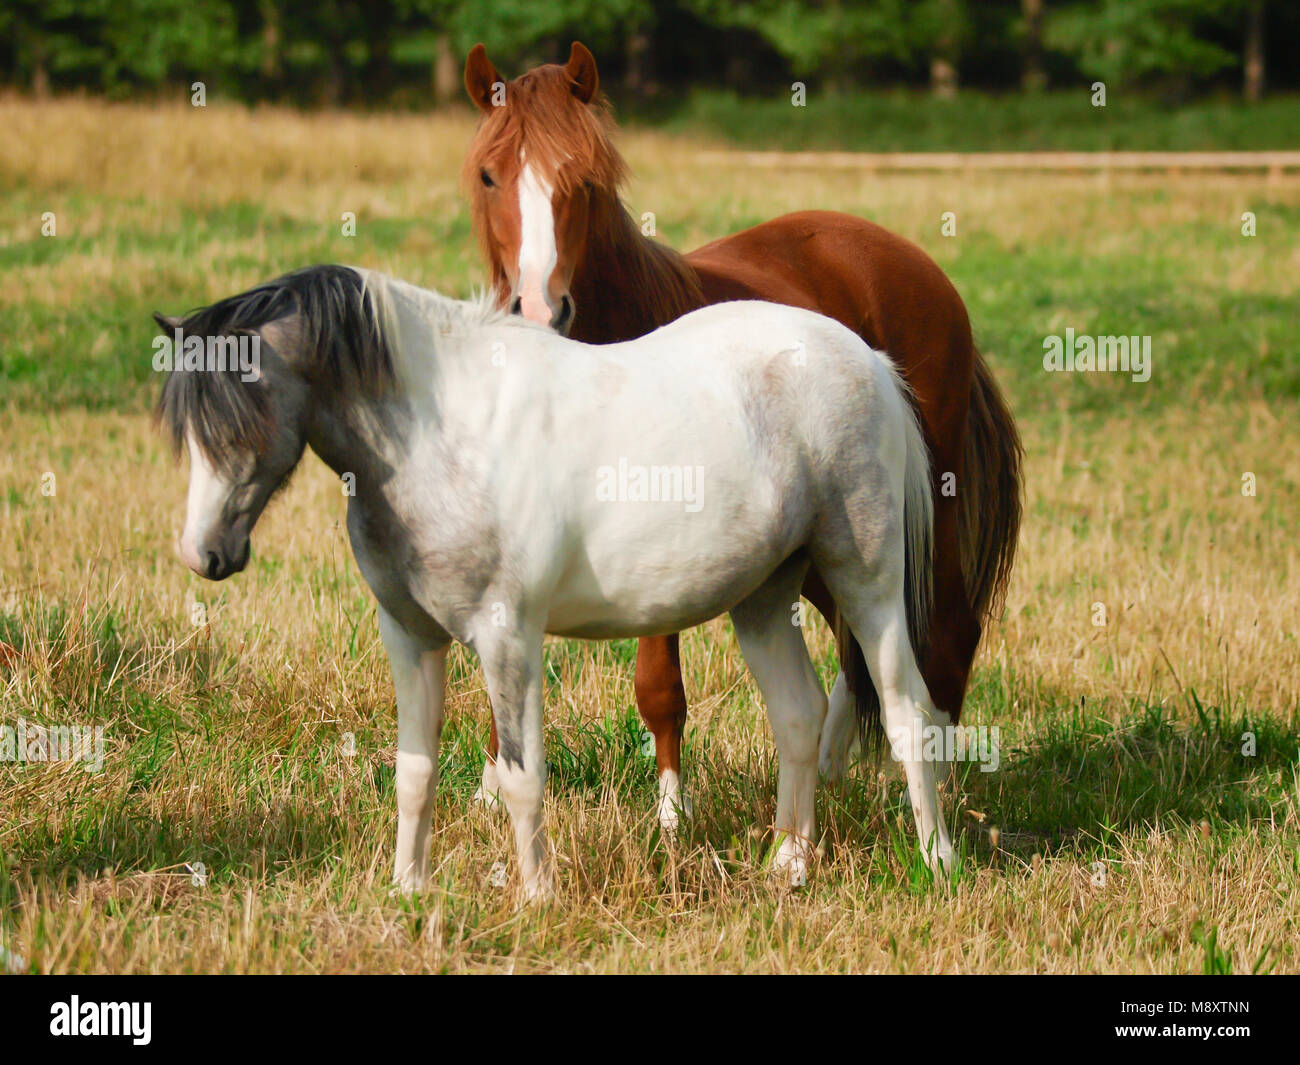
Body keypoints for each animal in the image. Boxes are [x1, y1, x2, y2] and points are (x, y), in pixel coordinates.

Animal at [155, 264, 954, 898]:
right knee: (797, 714)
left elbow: (518, 775)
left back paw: (936, 861)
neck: (446, 433)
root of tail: (867, 359)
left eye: (241, 413)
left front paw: (536, 896)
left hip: (867, 581)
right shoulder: (410, 637)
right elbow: (414, 770)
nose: (203, 554)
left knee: (907, 711)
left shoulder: (508, 637)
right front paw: (407, 890)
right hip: (763, 598)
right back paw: (788, 864)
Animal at [462, 42, 1023, 828]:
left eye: (585, 179)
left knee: (944, 629)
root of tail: (914, 265)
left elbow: (658, 683)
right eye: (490, 175)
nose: (541, 309)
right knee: (855, 645)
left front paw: (672, 818)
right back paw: (830, 771)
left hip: (916, 512)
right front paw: (490, 794)